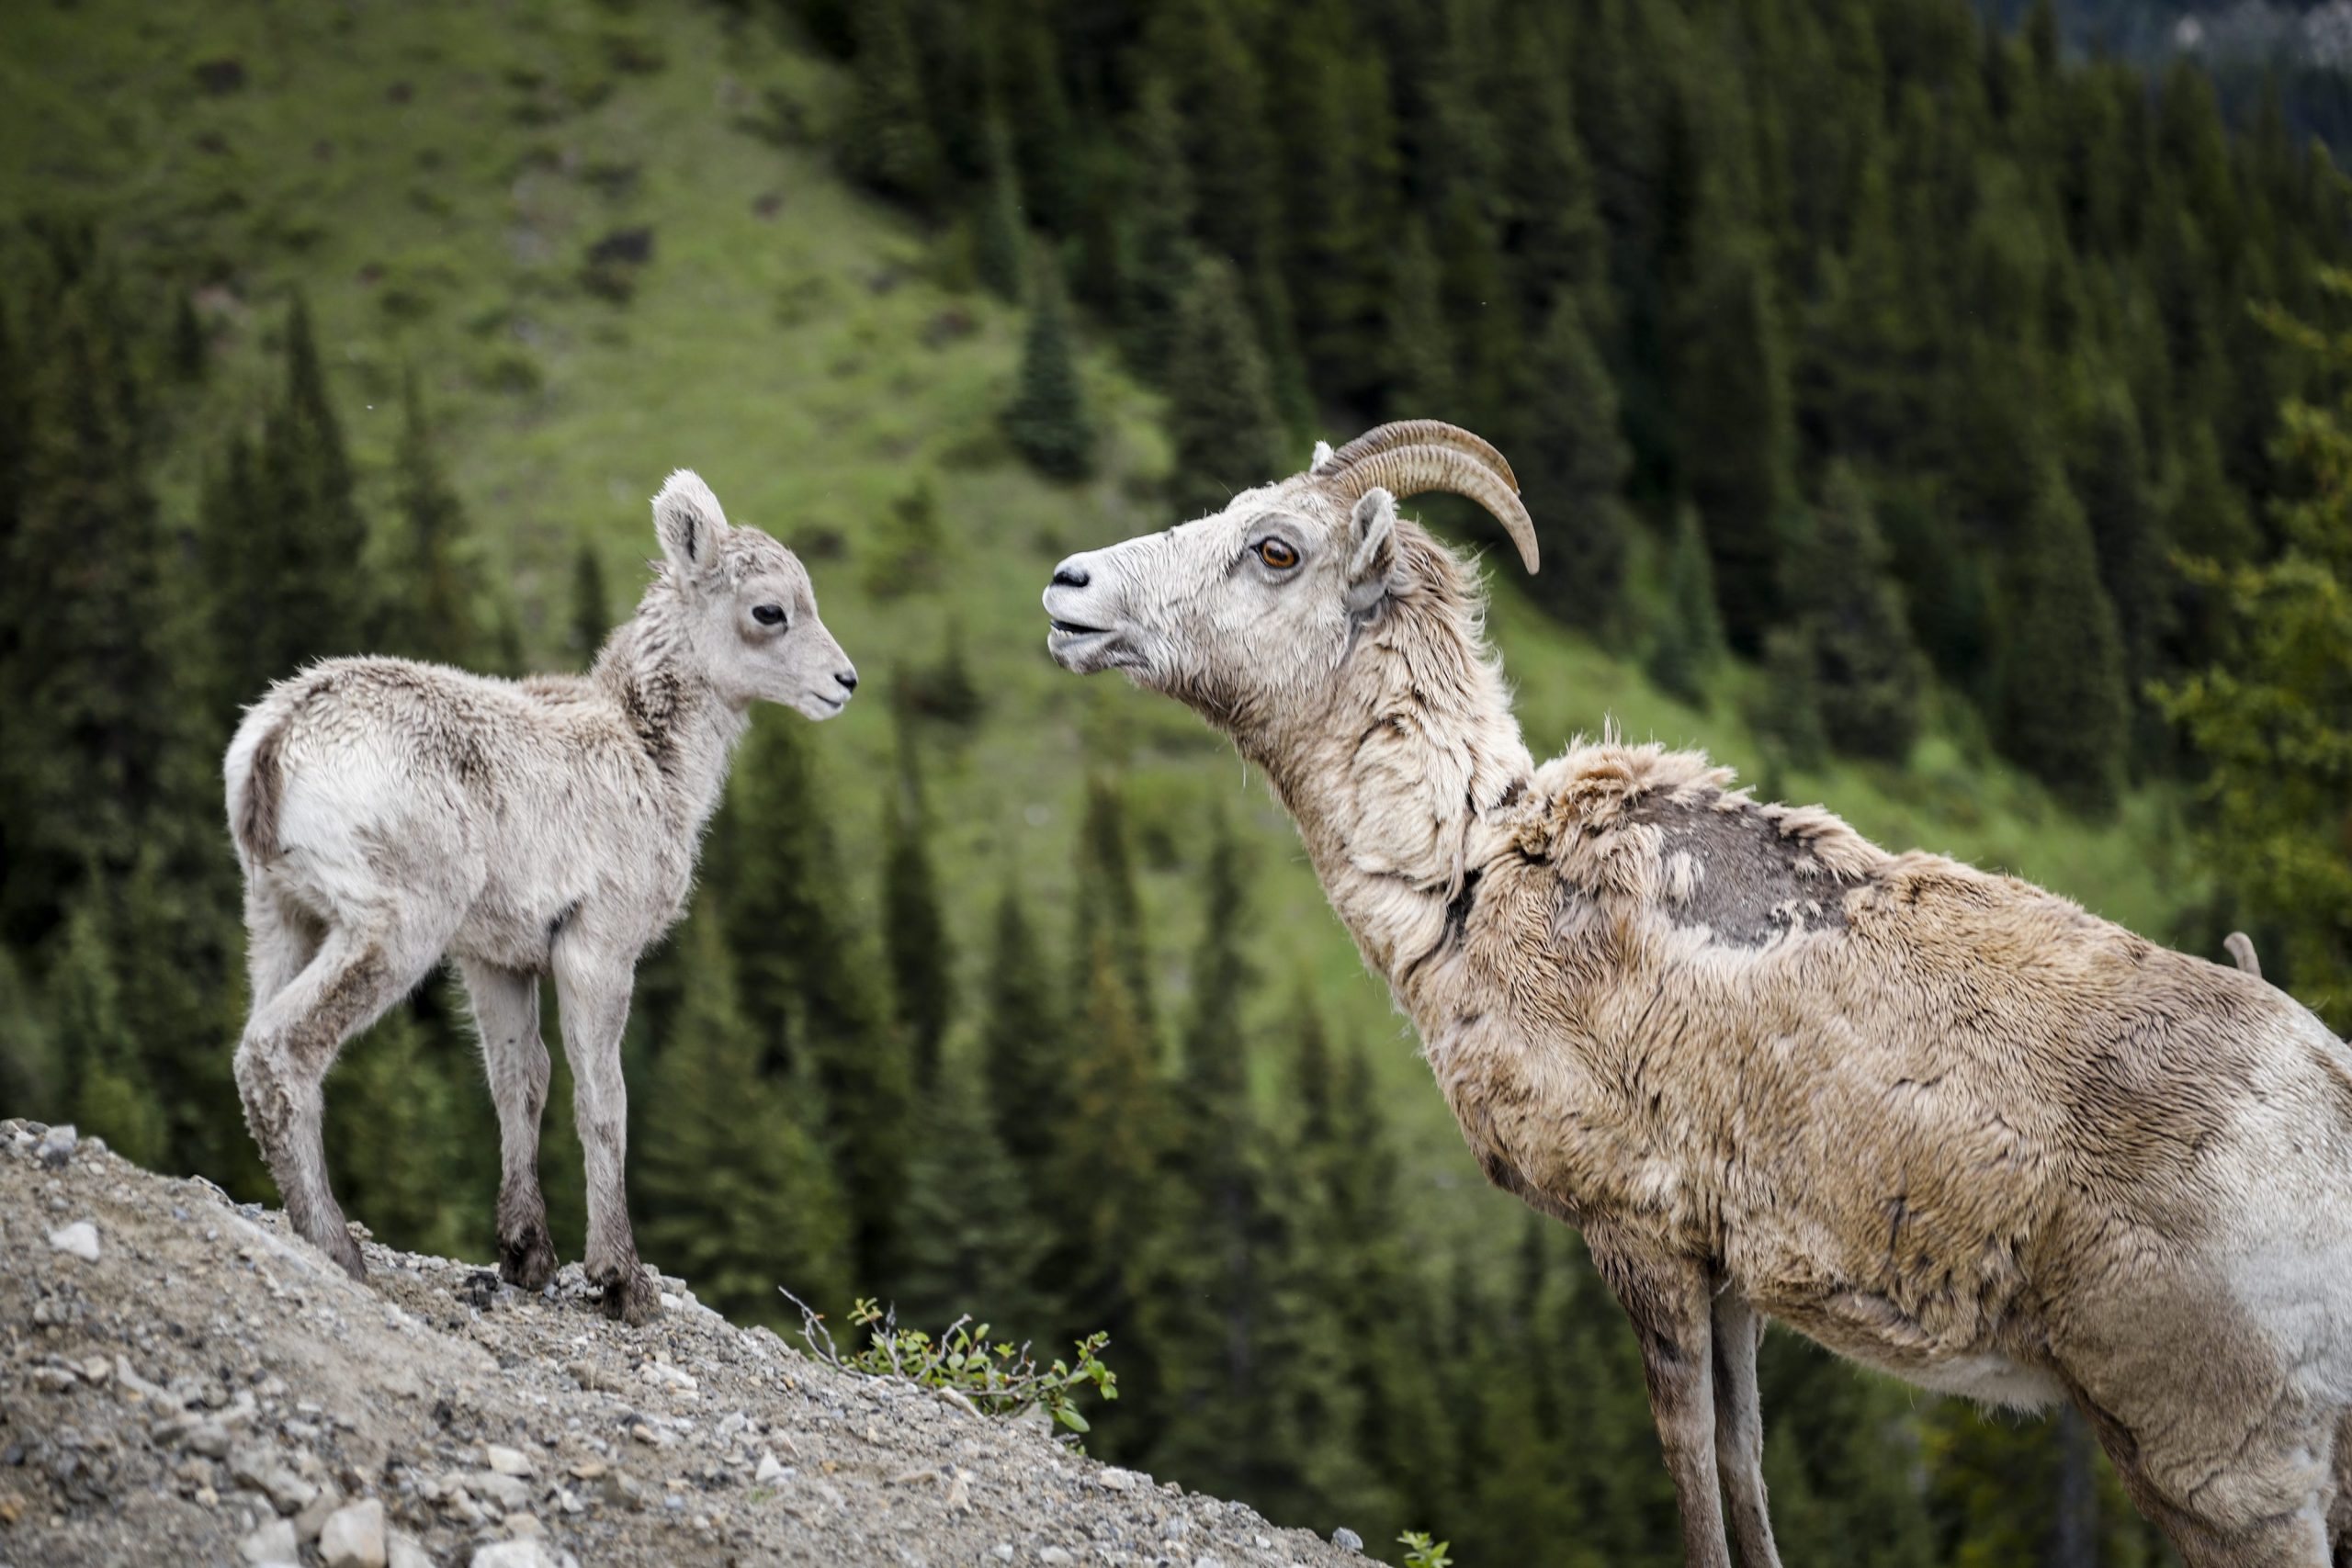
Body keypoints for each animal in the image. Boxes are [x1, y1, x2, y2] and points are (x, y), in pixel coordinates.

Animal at [224, 471, 857, 1323]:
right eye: (768, 610)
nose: (844, 682)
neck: (655, 761)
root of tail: (273, 742)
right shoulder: (597, 950)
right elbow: (603, 1101)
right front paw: (623, 1282)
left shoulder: (499, 961)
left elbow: (520, 1086)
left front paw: (527, 1257)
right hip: (393, 930)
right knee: (281, 1051)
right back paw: (339, 1251)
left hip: (280, 918)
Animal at [1041, 421, 2352, 1568]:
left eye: (1275, 549)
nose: (1069, 587)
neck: (1467, 880)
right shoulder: (1732, 1283)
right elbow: (1744, 1462)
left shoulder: (1641, 1239)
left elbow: (1688, 1466)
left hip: (2216, 1466)